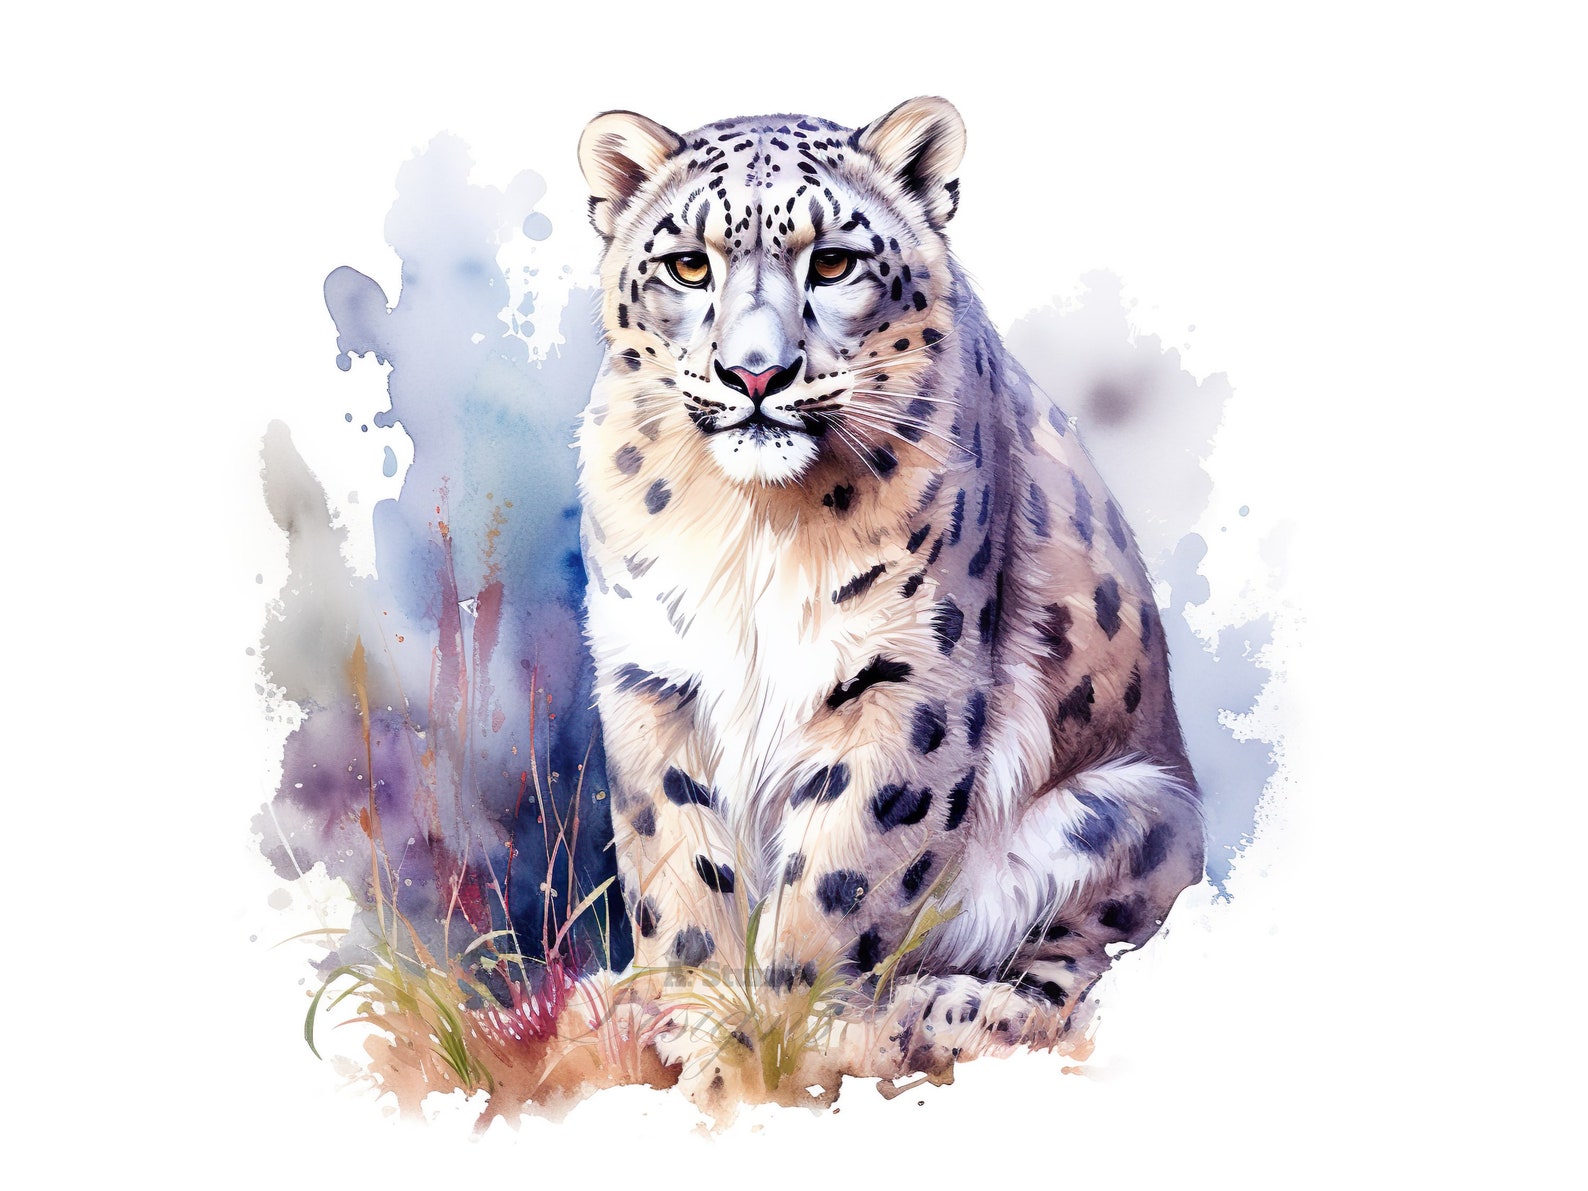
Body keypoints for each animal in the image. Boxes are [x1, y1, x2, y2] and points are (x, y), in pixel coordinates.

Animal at [574, 97, 1204, 1106]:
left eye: (832, 263)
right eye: (688, 264)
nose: (757, 374)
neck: (752, 525)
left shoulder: (904, 674)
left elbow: (838, 874)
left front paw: (766, 1046)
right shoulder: (653, 676)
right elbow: (677, 860)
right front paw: (691, 1013)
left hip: (1126, 813)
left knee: (1082, 966)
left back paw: (944, 1007)